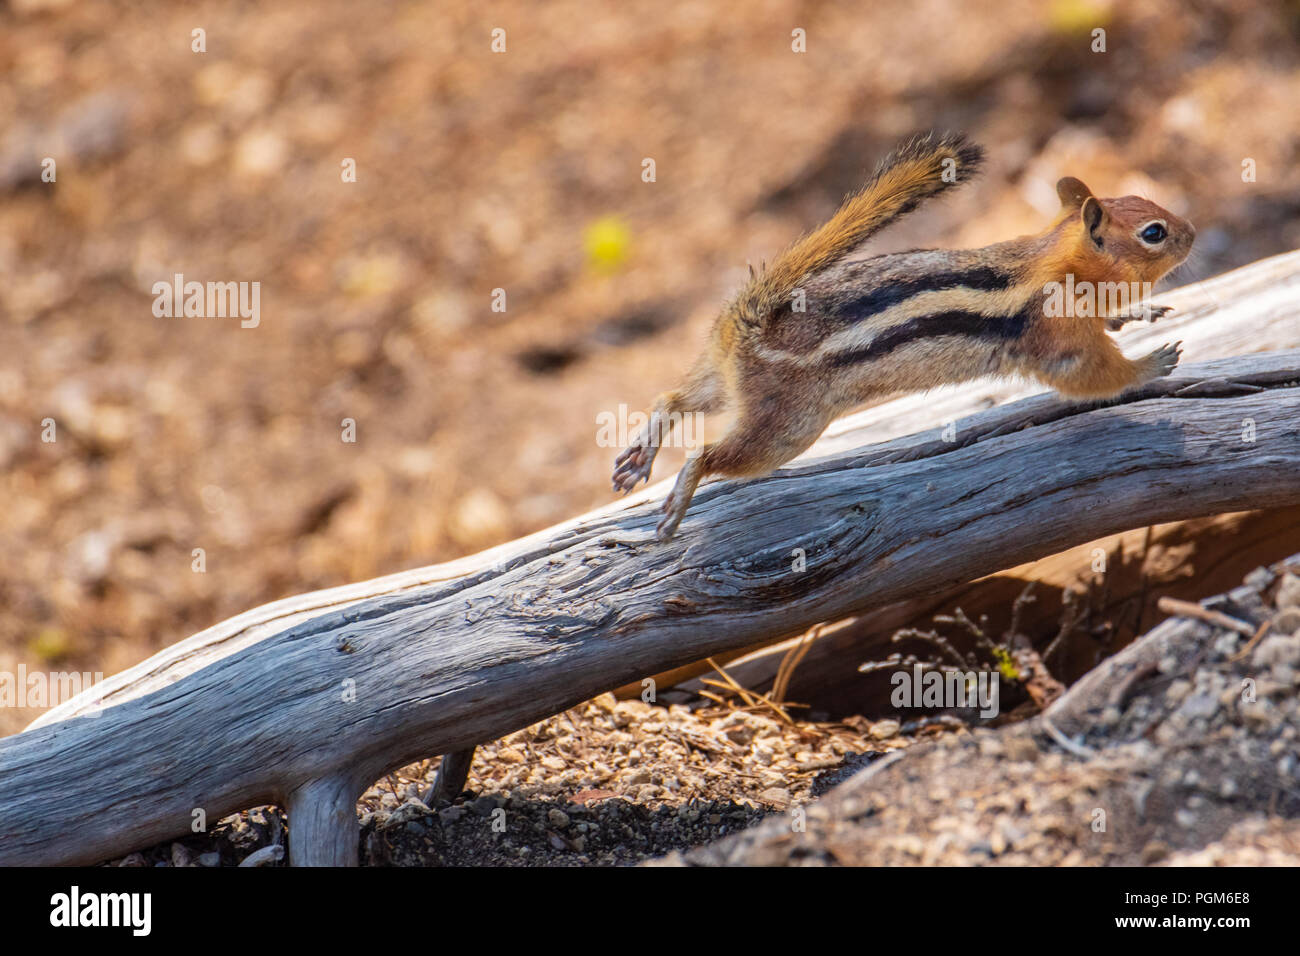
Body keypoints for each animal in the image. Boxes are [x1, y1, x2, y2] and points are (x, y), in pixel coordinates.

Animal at [612, 132, 1196, 542]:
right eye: (1154, 233)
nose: (1191, 232)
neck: (1056, 260)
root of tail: (749, 320)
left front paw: (1141, 313)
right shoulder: (1058, 340)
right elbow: (1090, 375)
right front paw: (1155, 362)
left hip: (721, 376)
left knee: (674, 396)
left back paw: (639, 454)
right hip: (786, 427)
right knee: (706, 453)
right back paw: (679, 497)